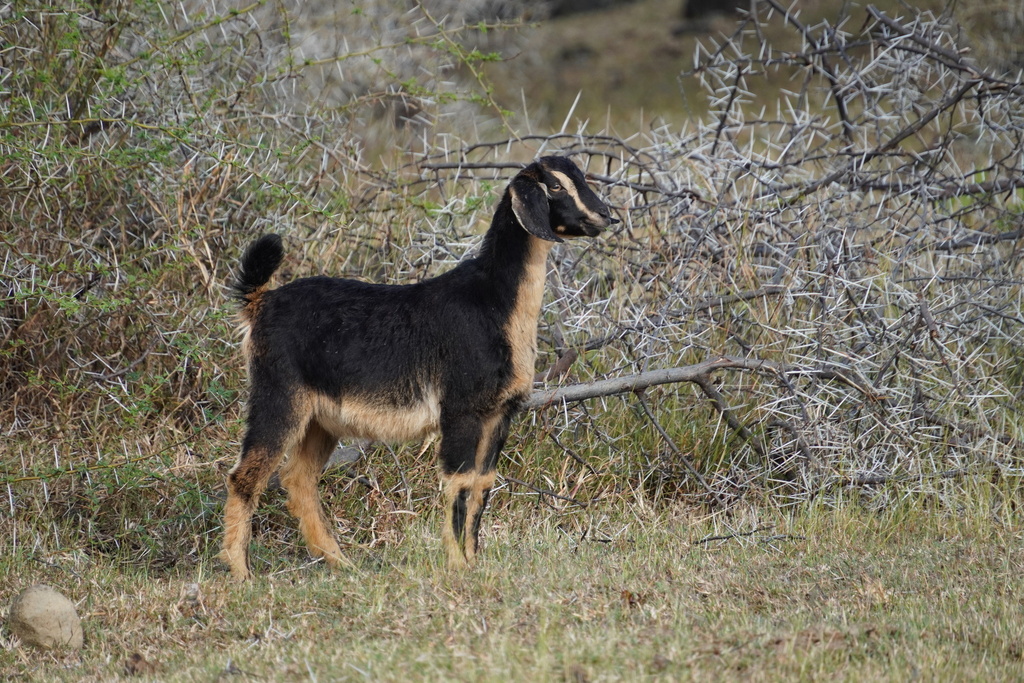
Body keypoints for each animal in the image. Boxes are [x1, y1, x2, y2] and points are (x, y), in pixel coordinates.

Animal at [221, 156, 617, 579]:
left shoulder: (501, 413)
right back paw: (242, 573)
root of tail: (259, 302)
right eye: (554, 186)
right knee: (245, 476)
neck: (493, 302)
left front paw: (474, 564)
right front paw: (457, 566)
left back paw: (343, 563)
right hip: (278, 396)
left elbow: (483, 484)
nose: (605, 215)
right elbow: (459, 483)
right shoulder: (461, 409)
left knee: (298, 479)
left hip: (320, 419)